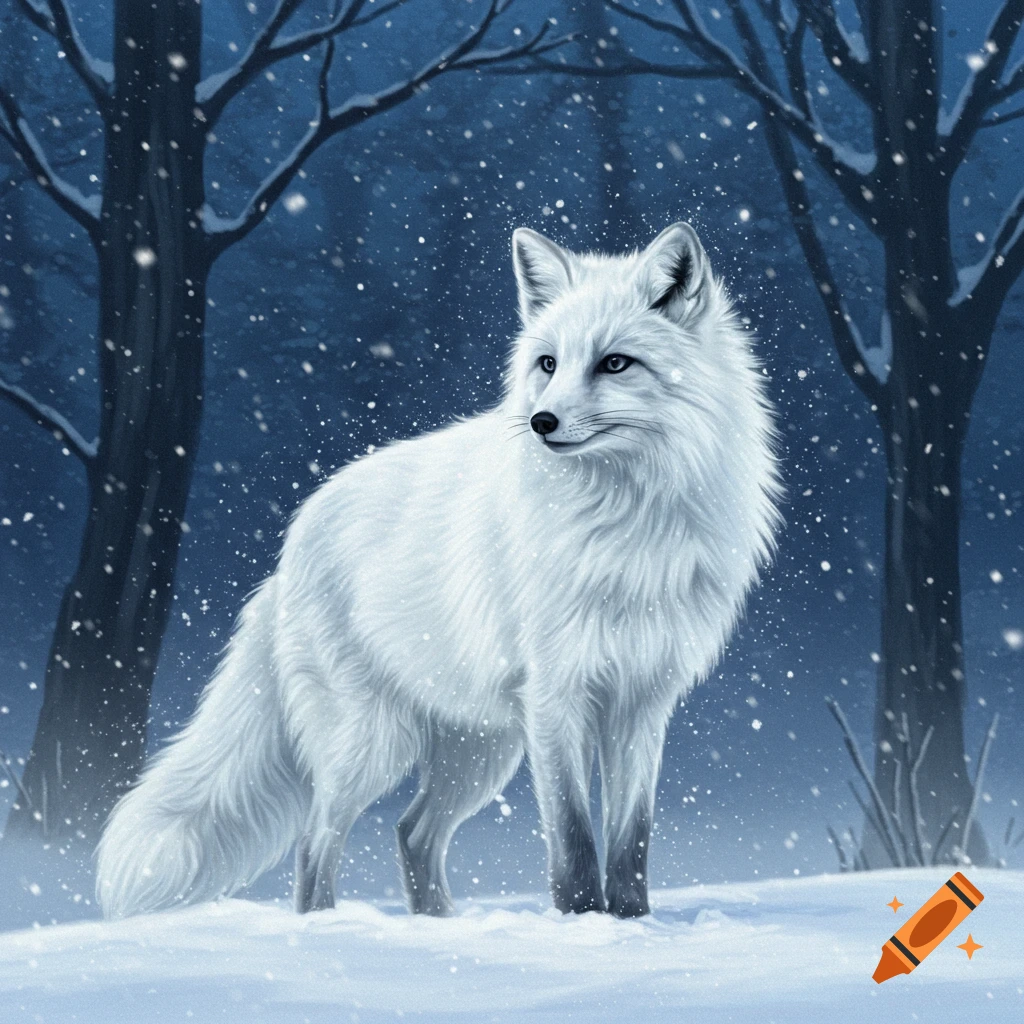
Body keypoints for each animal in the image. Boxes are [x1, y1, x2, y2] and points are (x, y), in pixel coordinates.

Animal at [95, 222, 782, 920]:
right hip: (375, 745)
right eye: (548, 363)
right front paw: (582, 924)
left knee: (411, 831)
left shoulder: (642, 700)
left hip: (480, 751)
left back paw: (439, 925)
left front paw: (634, 925)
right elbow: (572, 839)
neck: (625, 527)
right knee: (316, 842)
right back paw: (325, 925)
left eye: (614, 363)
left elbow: (631, 842)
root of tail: (289, 552)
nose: (541, 422)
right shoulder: (557, 695)